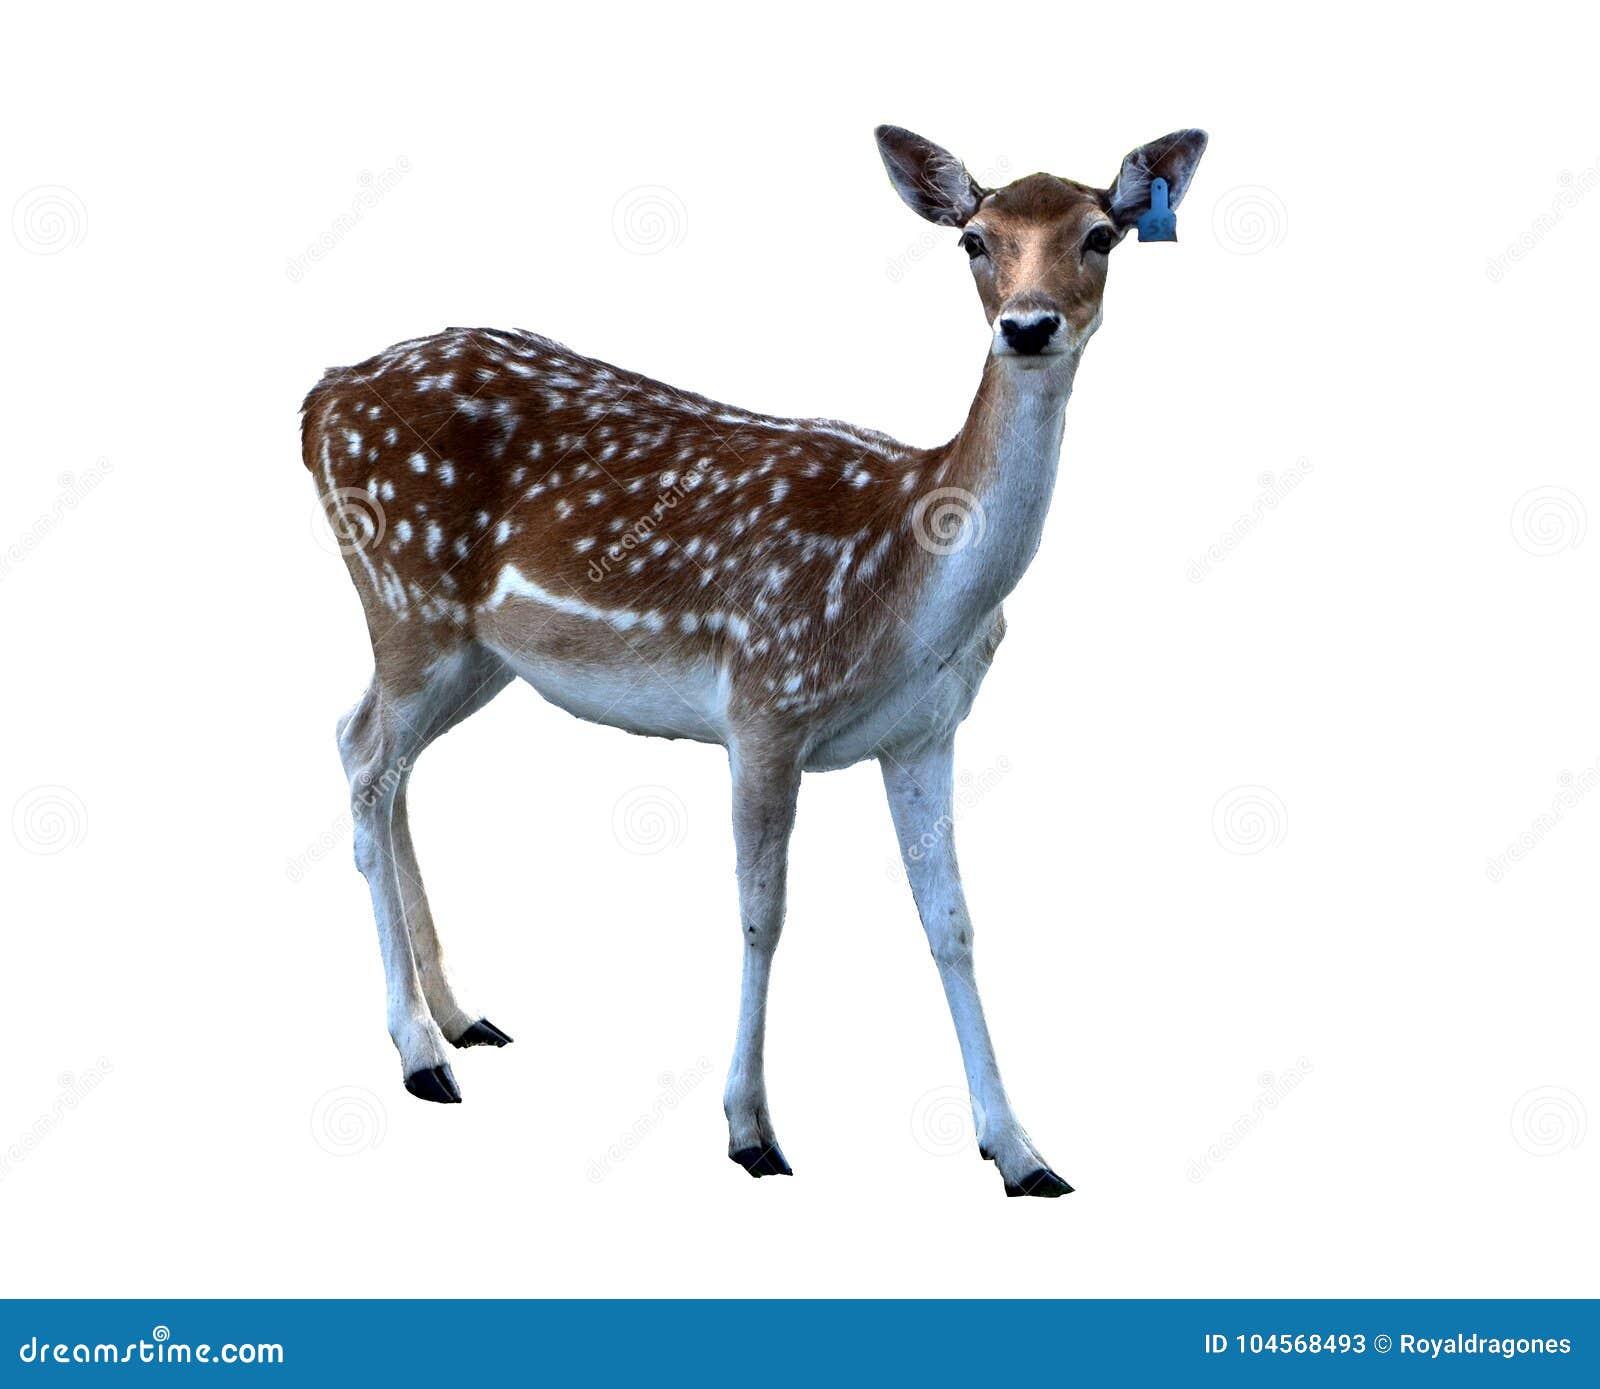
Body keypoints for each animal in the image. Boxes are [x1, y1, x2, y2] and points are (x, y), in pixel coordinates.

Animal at [302, 124, 1207, 1196]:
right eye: (974, 240)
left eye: (1102, 234)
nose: (1029, 327)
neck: (913, 577)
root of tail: (320, 398)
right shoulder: (766, 699)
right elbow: (761, 912)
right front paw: (751, 1129)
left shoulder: (925, 731)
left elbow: (952, 921)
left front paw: (1020, 1151)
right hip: (407, 600)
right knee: (363, 757)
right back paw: (417, 1052)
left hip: (477, 650)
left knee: (380, 757)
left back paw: (459, 1014)